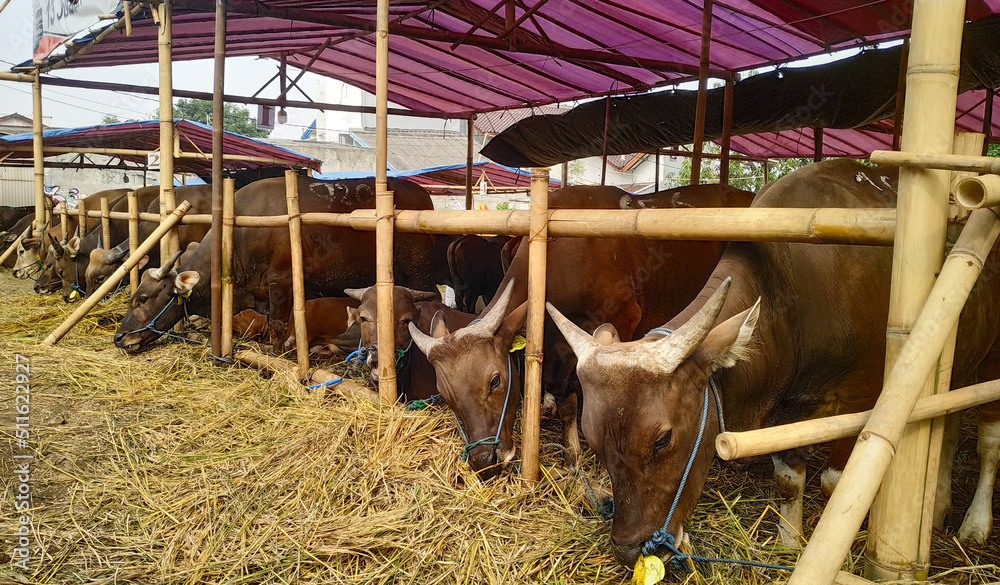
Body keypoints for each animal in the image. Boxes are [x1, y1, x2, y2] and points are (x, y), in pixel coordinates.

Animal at [114, 176, 451, 353]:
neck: (240, 234)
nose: (119, 337)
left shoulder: (282, 285)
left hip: (418, 271)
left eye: (142, 298)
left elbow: (278, 328)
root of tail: (423, 196)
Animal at [408, 184, 755, 477]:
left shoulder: (623, 321)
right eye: (446, 394)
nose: (485, 462)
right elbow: (566, 404)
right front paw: (572, 454)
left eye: (495, 381)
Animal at [544, 159, 1000, 568]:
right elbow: (788, 479)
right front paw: (788, 542)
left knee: (987, 444)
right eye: (593, 440)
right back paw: (938, 506)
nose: (628, 550)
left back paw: (974, 524)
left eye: (662, 440)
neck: (797, 300)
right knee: (948, 428)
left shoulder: (863, 399)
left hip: (989, 367)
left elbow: (834, 483)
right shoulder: (786, 407)